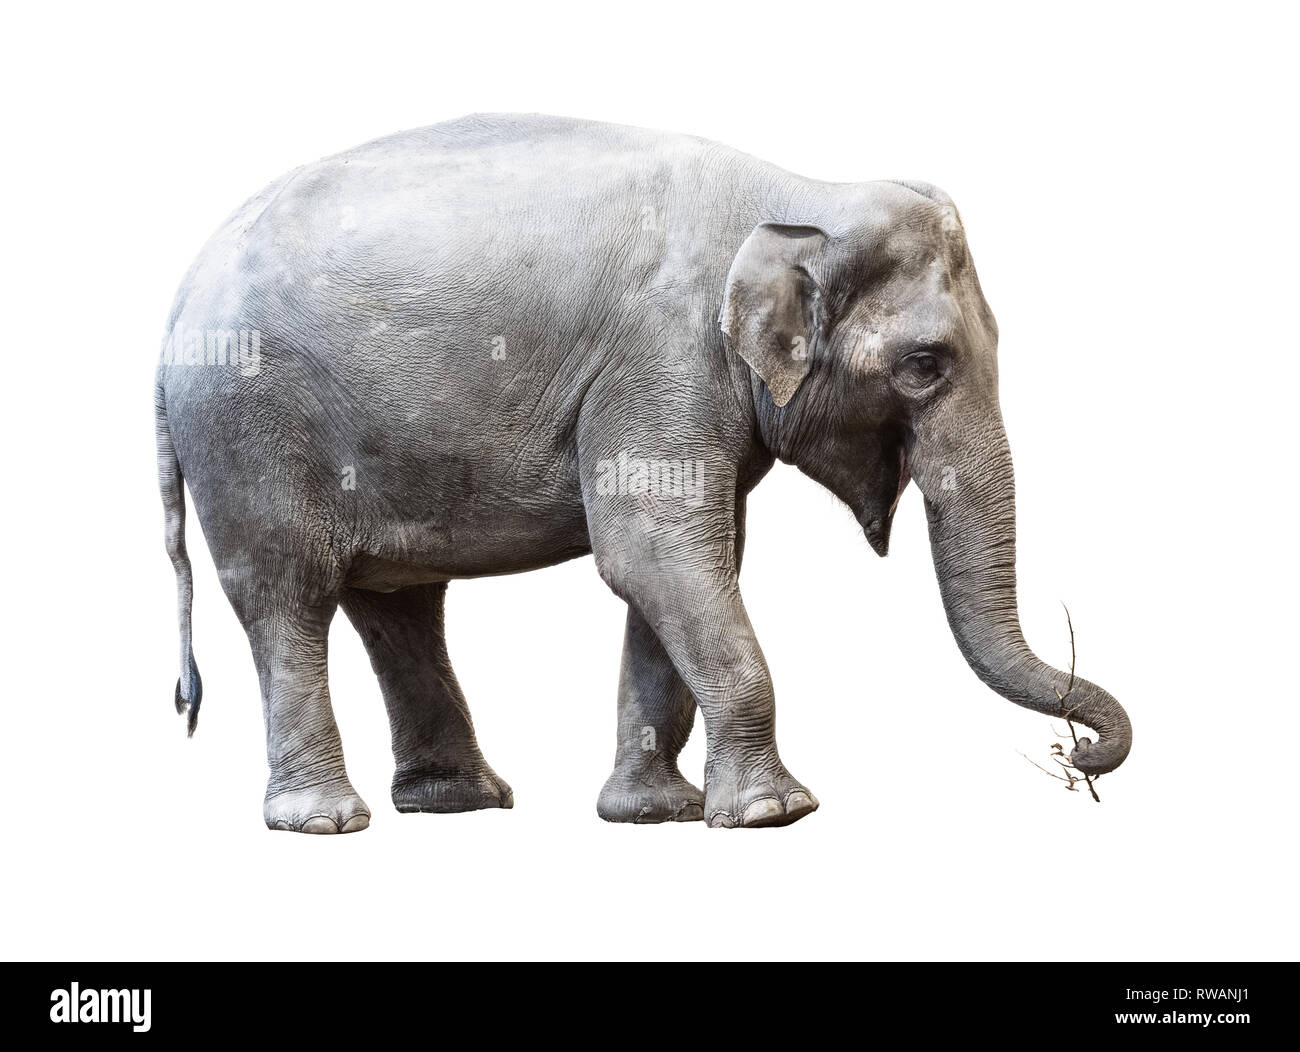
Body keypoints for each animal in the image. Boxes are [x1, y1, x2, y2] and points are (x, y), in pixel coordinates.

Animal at [155, 113, 1132, 833]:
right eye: (925, 365)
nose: (1077, 760)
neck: (802, 193)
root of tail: (175, 304)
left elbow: (687, 563)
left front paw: (655, 815)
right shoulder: (664, 357)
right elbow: (656, 554)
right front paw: (775, 814)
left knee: (397, 604)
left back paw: (460, 802)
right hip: (247, 431)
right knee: (288, 595)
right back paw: (325, 821)